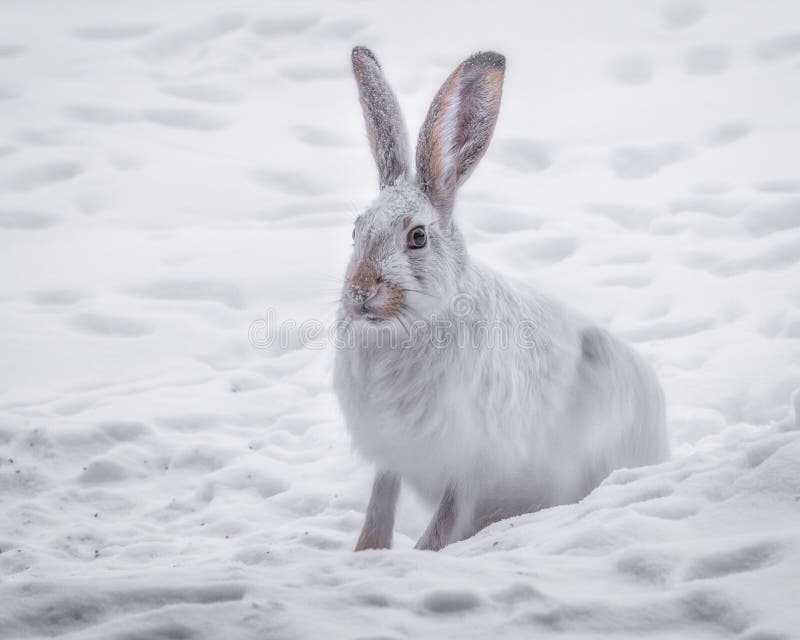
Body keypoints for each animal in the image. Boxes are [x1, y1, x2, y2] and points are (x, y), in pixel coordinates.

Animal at [334, 46, 670, 552]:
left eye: (417, 237)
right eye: (355, 231)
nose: (359, 293)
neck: (409, 327)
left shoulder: (471, 462)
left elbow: (444, 522)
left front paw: (420, 554)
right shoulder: (390, 455)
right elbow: (379, 507)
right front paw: (365, 554)